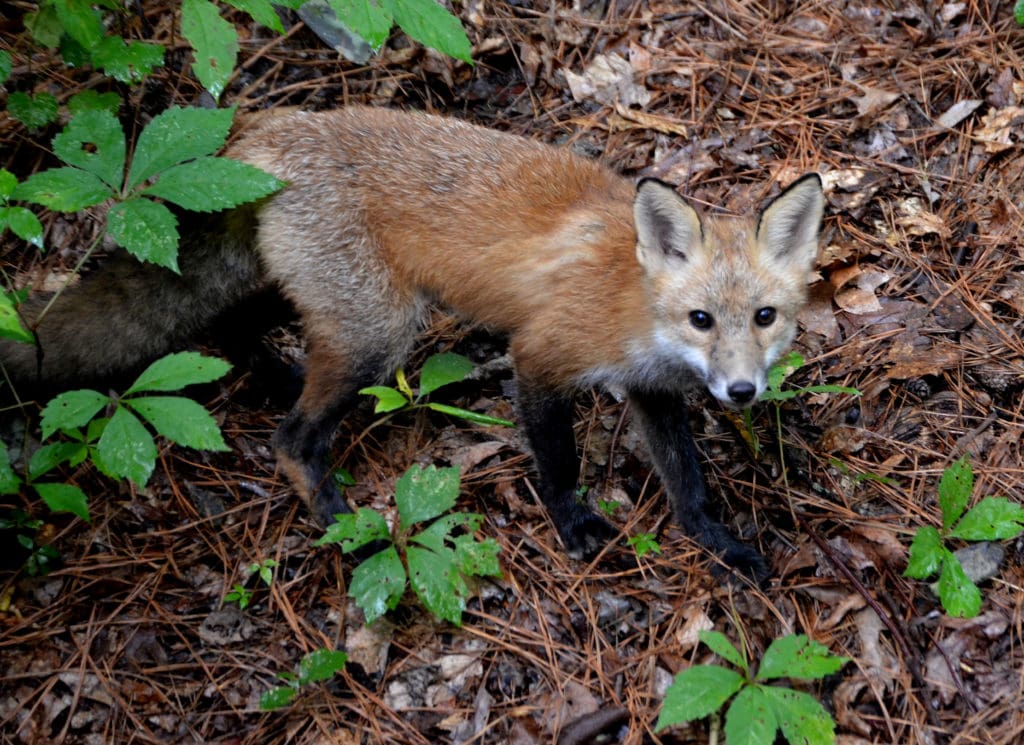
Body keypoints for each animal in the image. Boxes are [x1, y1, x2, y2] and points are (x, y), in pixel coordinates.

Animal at [0, 106, 824, 579]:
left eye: (765, 317)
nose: (742, 392)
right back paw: (342, 523)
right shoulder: (540, 357)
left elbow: (687, 483)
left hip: (303, 290)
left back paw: (274, 374)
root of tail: (266, 129)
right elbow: (558, 463)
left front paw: (717, 543)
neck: (632, 302)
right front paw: (574, 523)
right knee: (291, 439)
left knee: (225, 325)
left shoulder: (652, 390)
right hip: (380, 329)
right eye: (702, 320)